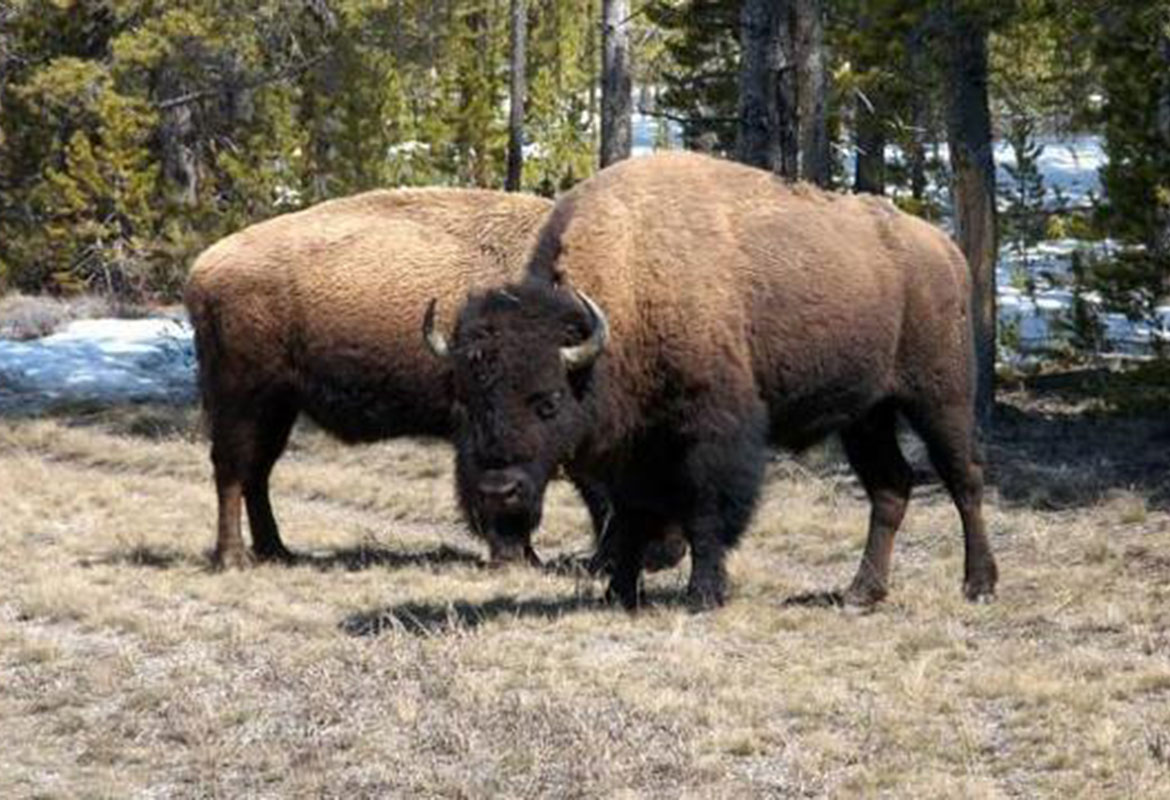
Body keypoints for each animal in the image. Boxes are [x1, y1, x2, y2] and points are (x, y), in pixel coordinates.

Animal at [425, 152, 999, 610]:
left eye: (547, 402)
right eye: (469, 403)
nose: (499, 490)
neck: (632, 283)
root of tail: (946, 250)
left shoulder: (712, 434)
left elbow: (705, 511)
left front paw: (702, 594)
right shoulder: (634, 449)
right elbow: (632, 515)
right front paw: (620, 593)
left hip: (939, 399)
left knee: (964, 479)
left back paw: (979, 585)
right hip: (866, 416)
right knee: (890, 488)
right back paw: (862, 592)